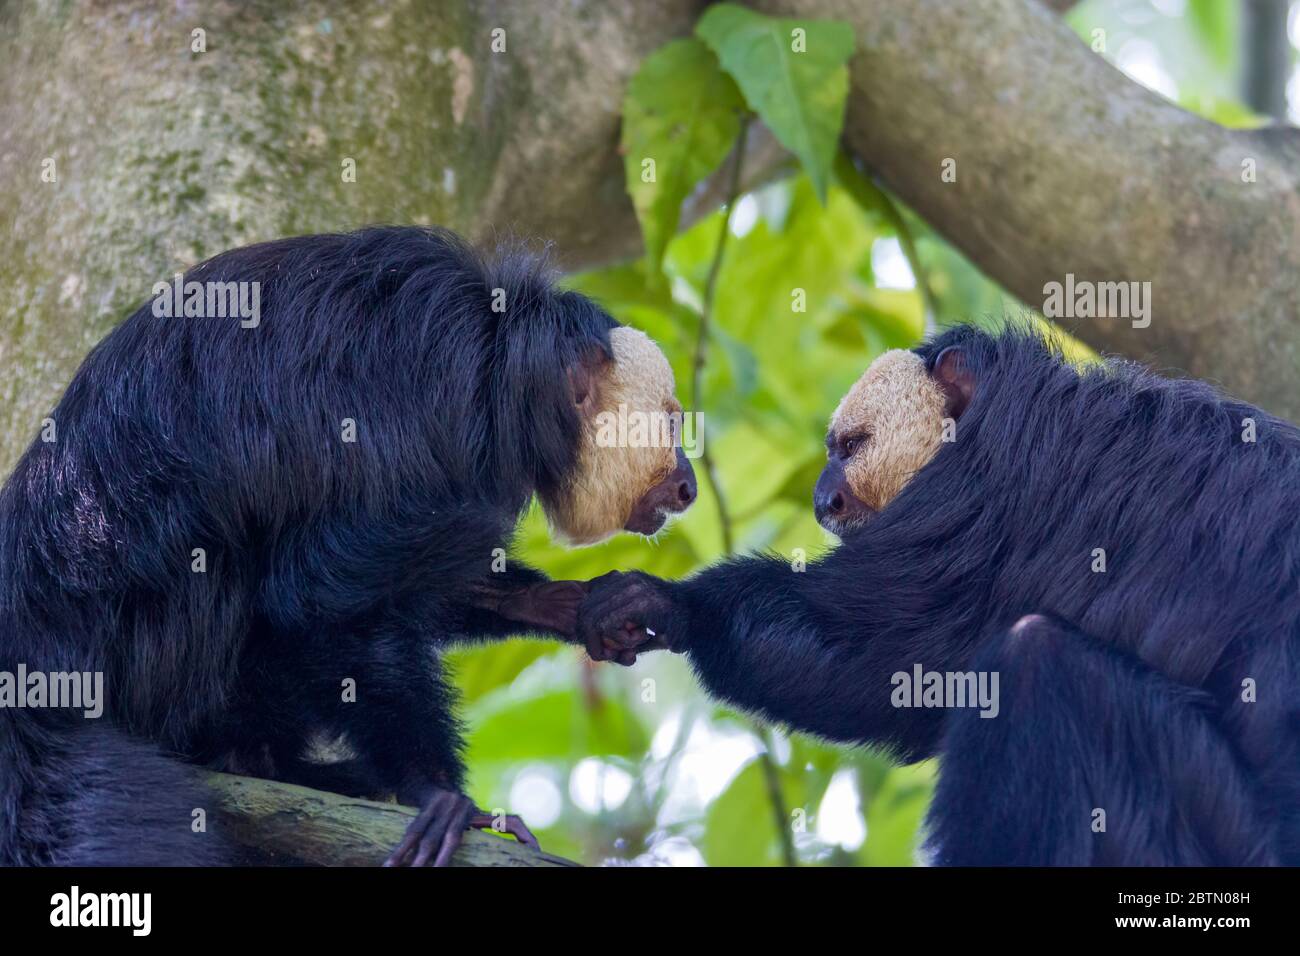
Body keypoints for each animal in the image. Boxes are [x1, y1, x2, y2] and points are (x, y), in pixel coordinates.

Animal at [0, 225, 693, 867]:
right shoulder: (425, 415)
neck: (503, 362)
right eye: (672, 421)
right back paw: (249, 757)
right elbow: (322, 598)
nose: (687, 482)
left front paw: (581, 607)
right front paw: (437, 792)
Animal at [577, 323, 1299, 865]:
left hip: (1222, 834)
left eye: (851, 446)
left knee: (1037, 663)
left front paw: (675, 607)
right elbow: (898, 682)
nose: (823, 500)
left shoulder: (991, 493)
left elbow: (890, 649)